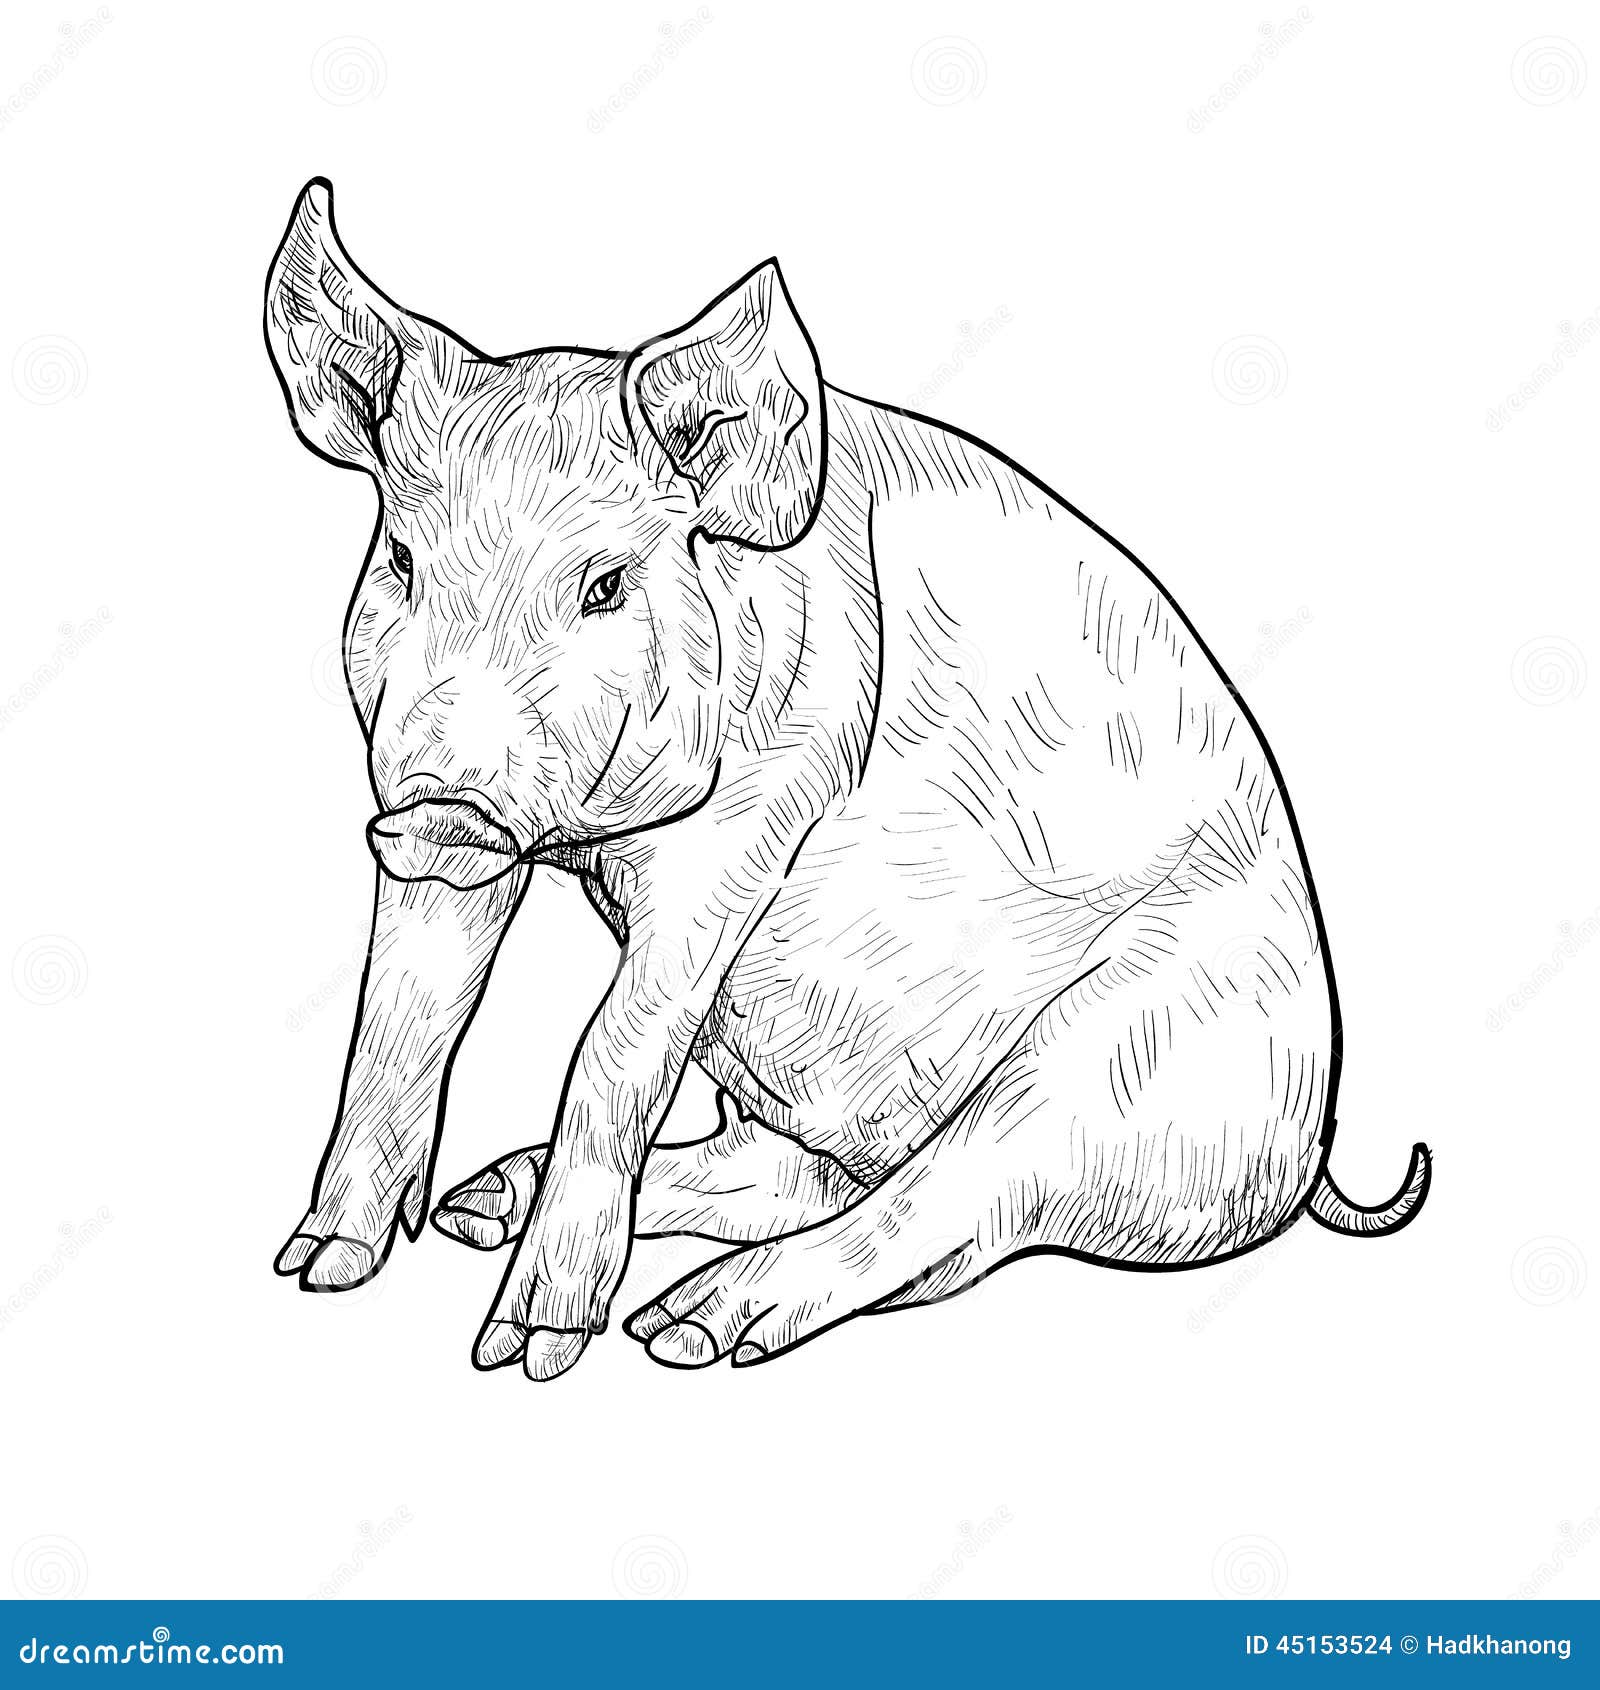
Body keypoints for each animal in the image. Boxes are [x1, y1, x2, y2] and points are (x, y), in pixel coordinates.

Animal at [264, 179, 1430, 1382]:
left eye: (605, 583)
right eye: (403, 561)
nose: (439, 803)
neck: (593, 835)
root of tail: (1312, 1151)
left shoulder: (759, 814)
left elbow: (614, 1049)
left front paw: (525, 1352)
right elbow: (400, 1018)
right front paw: (317, 1267)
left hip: (1102, 1058)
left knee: (938, 1217)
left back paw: (680, 1329)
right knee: (796, 1179)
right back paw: (484, 1203)